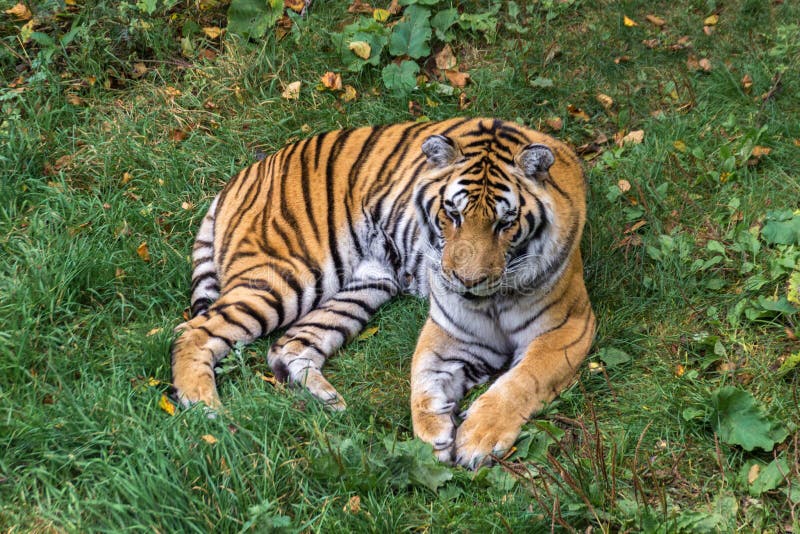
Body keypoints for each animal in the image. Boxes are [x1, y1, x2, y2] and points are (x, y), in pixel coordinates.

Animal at [171, 117, 595, 468]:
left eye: (505, 223)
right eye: (453, 213)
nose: (466, 281)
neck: (492, 298)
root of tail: (243, 175)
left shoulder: (568, 327)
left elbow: (521, 382)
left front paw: (476, 437)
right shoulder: (451, 331)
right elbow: (423, 379)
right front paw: (433, 434)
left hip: (364, 285)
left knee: (287, 345)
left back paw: (329, 401)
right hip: (287, 275)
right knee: (192, 332)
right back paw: (207, 409)